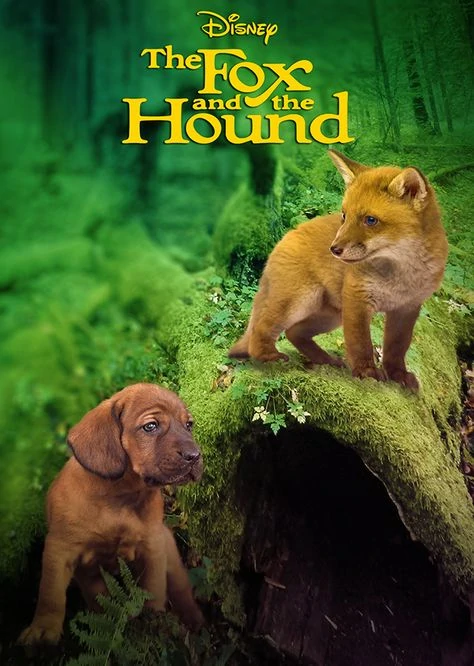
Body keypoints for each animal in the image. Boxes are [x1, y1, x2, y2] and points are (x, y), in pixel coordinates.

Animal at [228, 149, 448, 389]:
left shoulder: (407, 308)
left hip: (330, 315)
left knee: (294, 332)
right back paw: (269, 357)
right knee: (261, 329)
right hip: (297, 302)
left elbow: (397, 347)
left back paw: (325, 359)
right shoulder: (357, 299)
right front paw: (367, 373)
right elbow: (360, 343)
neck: (400, 276)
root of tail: (286, 236)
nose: (334, 249)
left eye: (370, 220)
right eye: (344, 215)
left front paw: (397, 375)